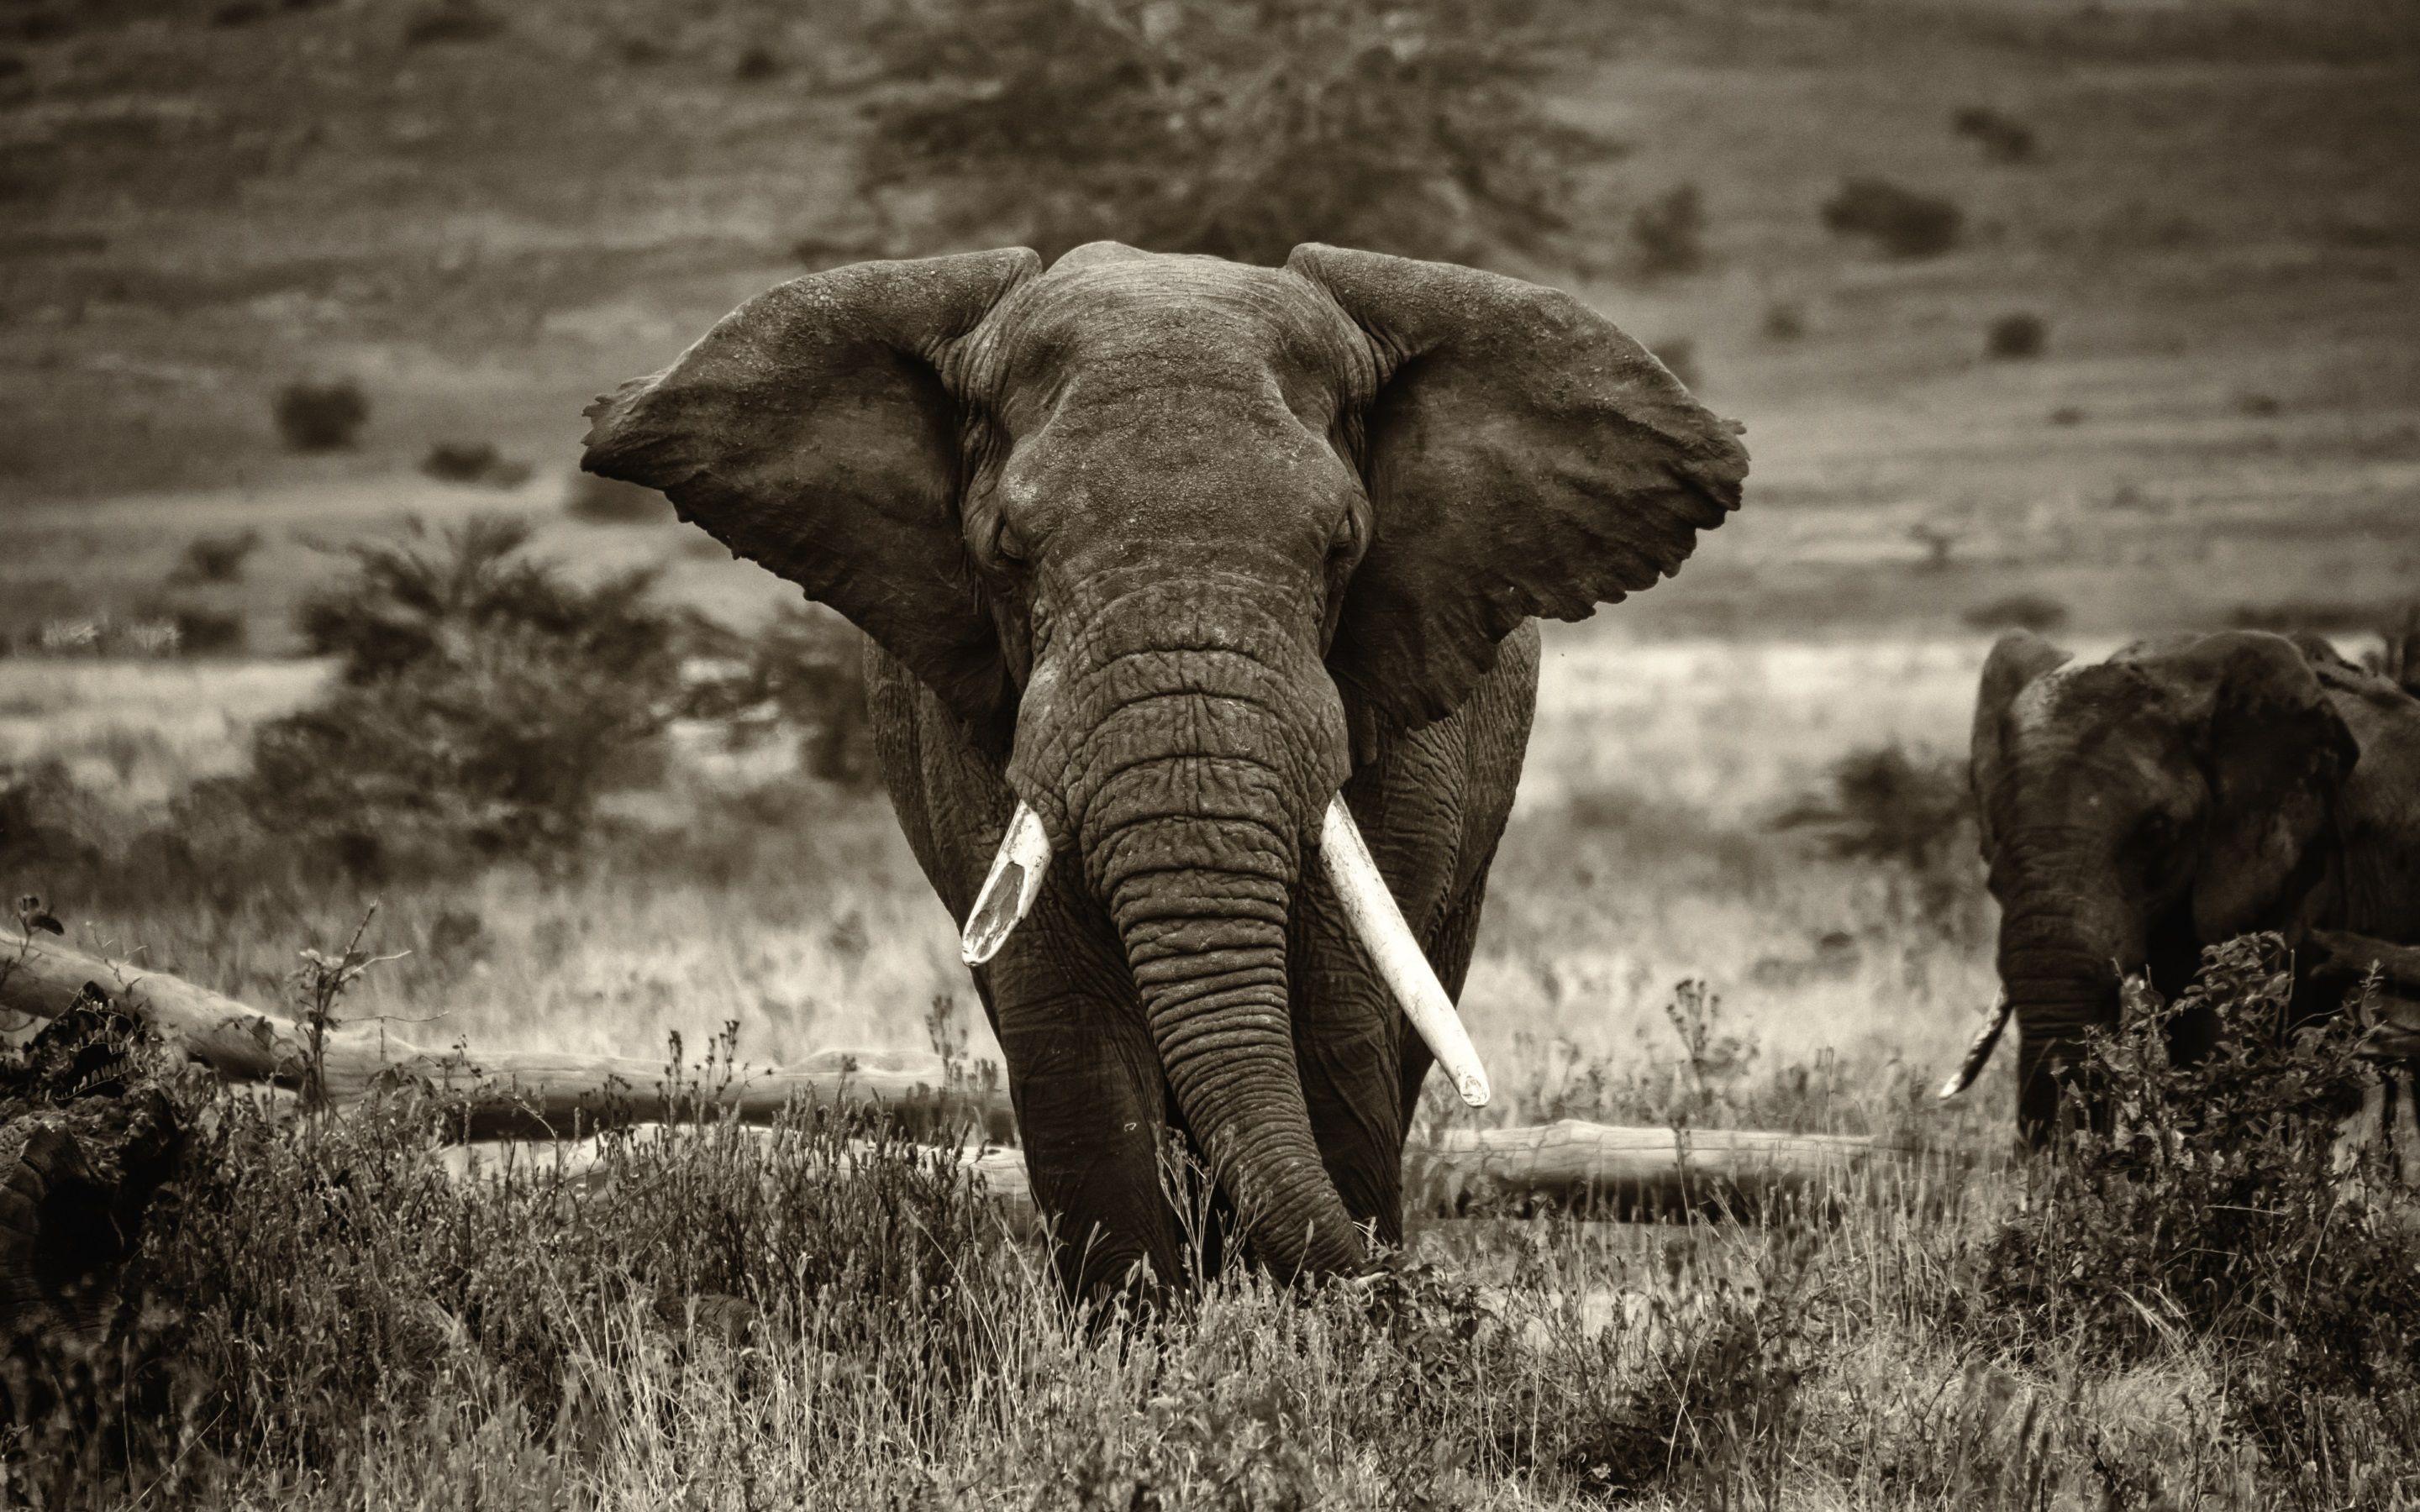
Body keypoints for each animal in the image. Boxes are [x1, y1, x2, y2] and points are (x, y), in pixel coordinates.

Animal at [579, 242, 1749, 1299]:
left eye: (1342, 546)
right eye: (1008, 551)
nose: (1432, 1295)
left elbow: (1333, 1013)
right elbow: (1071, 1034)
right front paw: (1142, 1356)